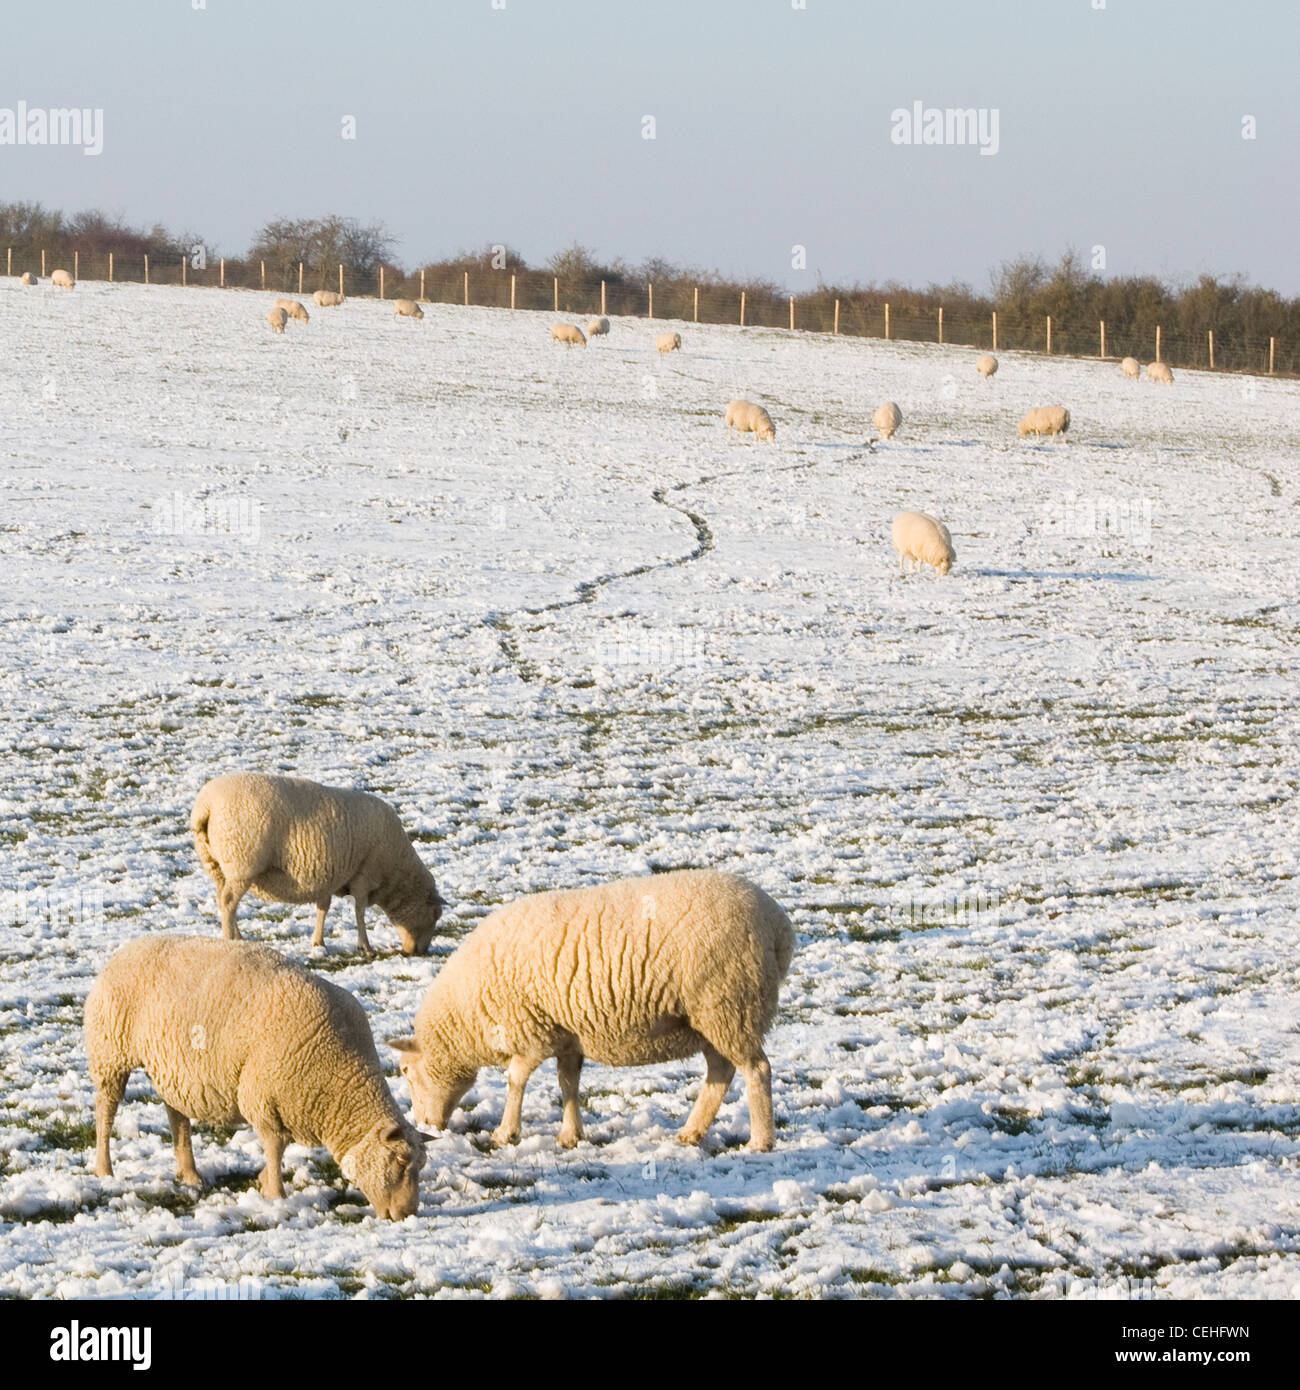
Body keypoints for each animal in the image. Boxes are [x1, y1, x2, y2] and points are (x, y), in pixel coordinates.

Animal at [85, 936, 426, 1219]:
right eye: (399, 1162)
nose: (406, 1214)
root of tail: (126, 949)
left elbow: (281, 1145)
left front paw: (263, 1182)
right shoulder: (261, 1097)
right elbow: (276, 1146)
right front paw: (275, 1194)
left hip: (173, 1067)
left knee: (176, 1115)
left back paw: (190, 1175)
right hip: (110, 1050)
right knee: (106, 1108)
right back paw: (104, 1168)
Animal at [190, 772, 444, 956]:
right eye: (435, 916)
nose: (420, 952)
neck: (396, 875)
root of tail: (206, 806)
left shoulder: (329, 876)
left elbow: (324, 907)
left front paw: (318, 942)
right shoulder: (364, 875)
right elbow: (359, 911)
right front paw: (365, 946)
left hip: (217, 865)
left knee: (224, 902)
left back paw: (239, 937)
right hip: (242, 864)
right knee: (228, 902)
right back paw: (231, 939)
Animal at [390, 868, 795, 1152]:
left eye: (406, 1071)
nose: (426, 1125)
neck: (469, 1014)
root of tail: (779, 927)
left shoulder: (531, 1032)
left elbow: (516, 1080)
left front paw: (507, 1133)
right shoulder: (566, 1034)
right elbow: (568, 1082)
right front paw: (570, 1135)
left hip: (729, 1006)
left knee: (756, 1070)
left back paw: (761, 1141)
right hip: (712, 1018)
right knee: (721, 1073)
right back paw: (691, 1132)